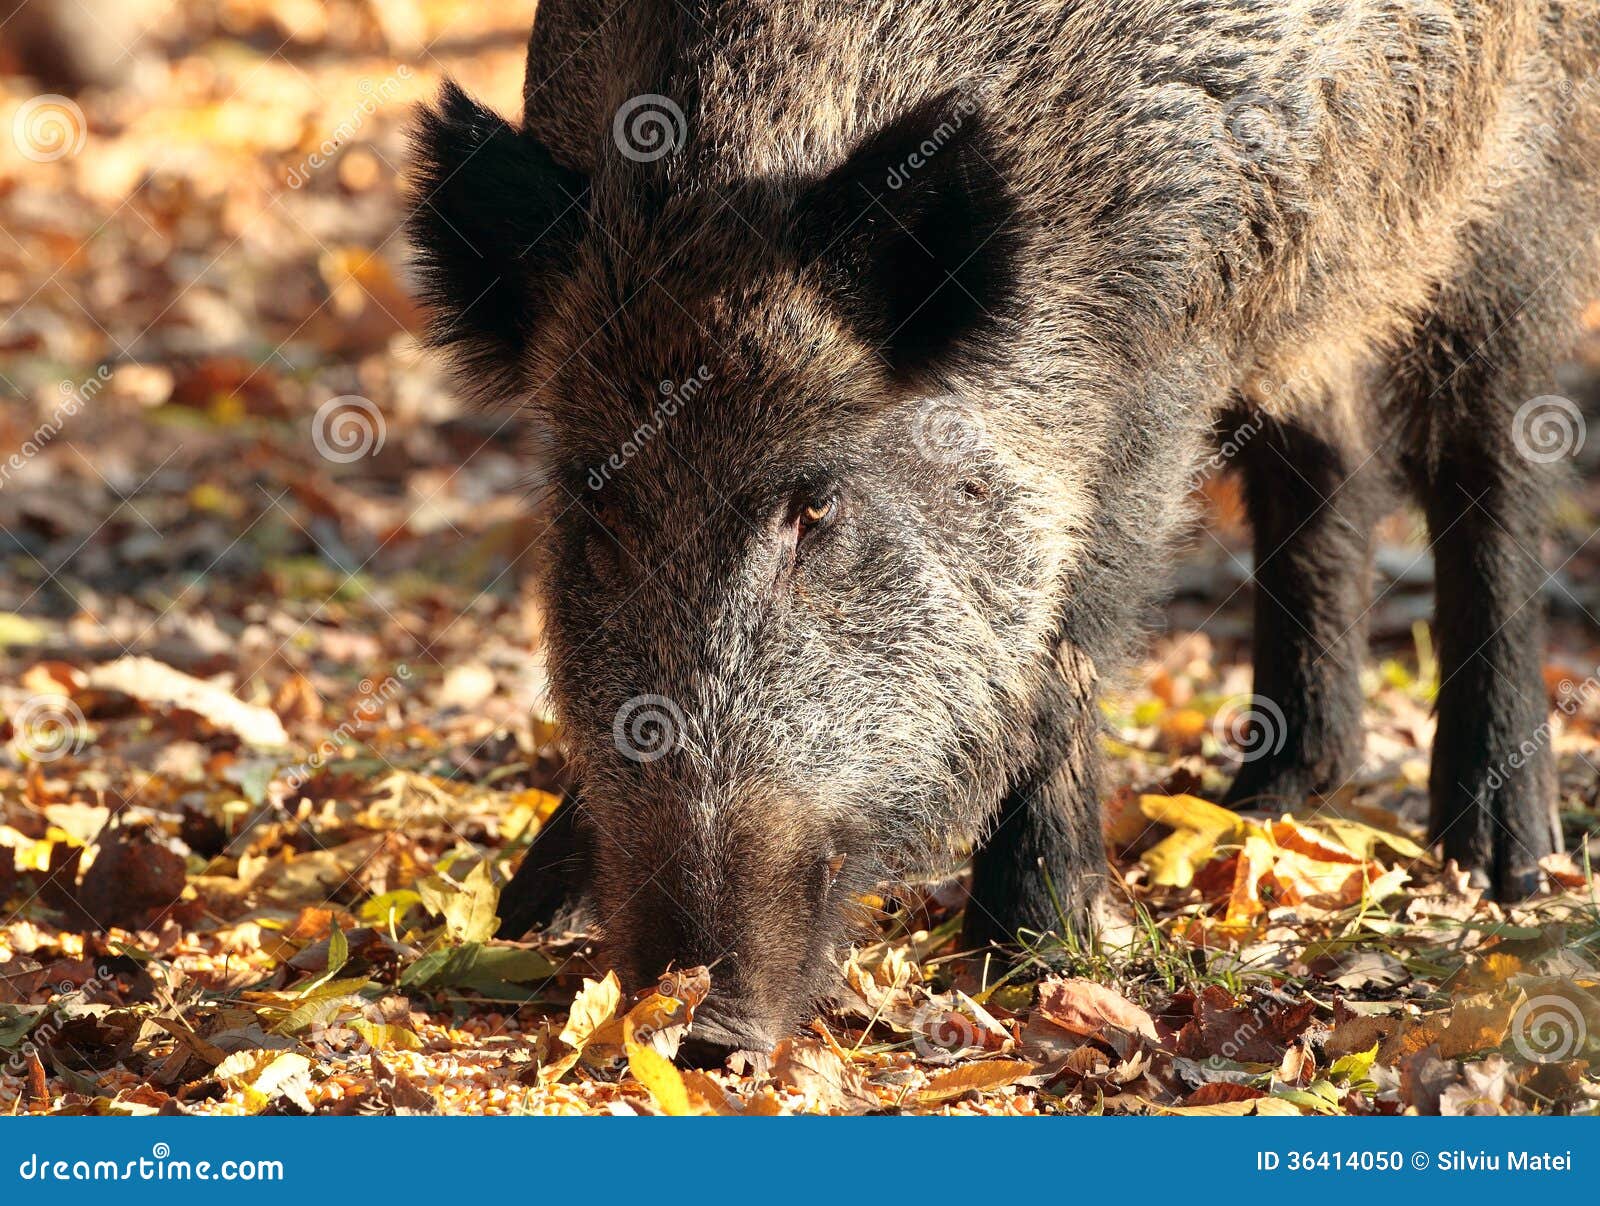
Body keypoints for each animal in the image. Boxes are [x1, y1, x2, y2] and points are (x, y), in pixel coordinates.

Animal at [408, 0, 1600, 1060]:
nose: (697, 1021)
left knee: (1487, 464)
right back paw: (1278, 792)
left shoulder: (1157, 371)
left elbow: (1073, 633)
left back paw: (1500, 862)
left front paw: (1034, 954)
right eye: (595, 509)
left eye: (816, 507)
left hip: (1517, 187)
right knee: (1328, 457)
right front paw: (532, 917)